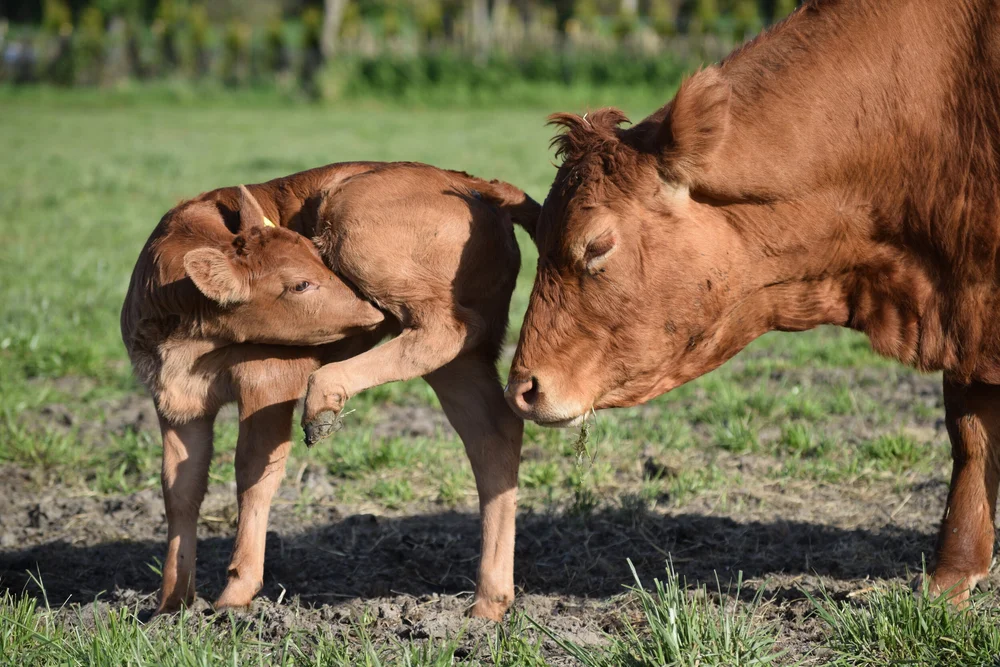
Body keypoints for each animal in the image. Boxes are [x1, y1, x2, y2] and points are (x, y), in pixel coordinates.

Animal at [122, 162, 539, 620]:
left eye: (318, 254)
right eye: (300, 284)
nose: (371, 312)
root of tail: (469, 180)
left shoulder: (270, 381)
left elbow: (253, 472)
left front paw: (234, 595)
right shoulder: (175, 402)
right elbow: (180, 488)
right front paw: (169, 604)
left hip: (352, 216)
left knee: (447, 331)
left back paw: (324, 397)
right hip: (460, 367)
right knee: (492, 434)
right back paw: (490, 600)